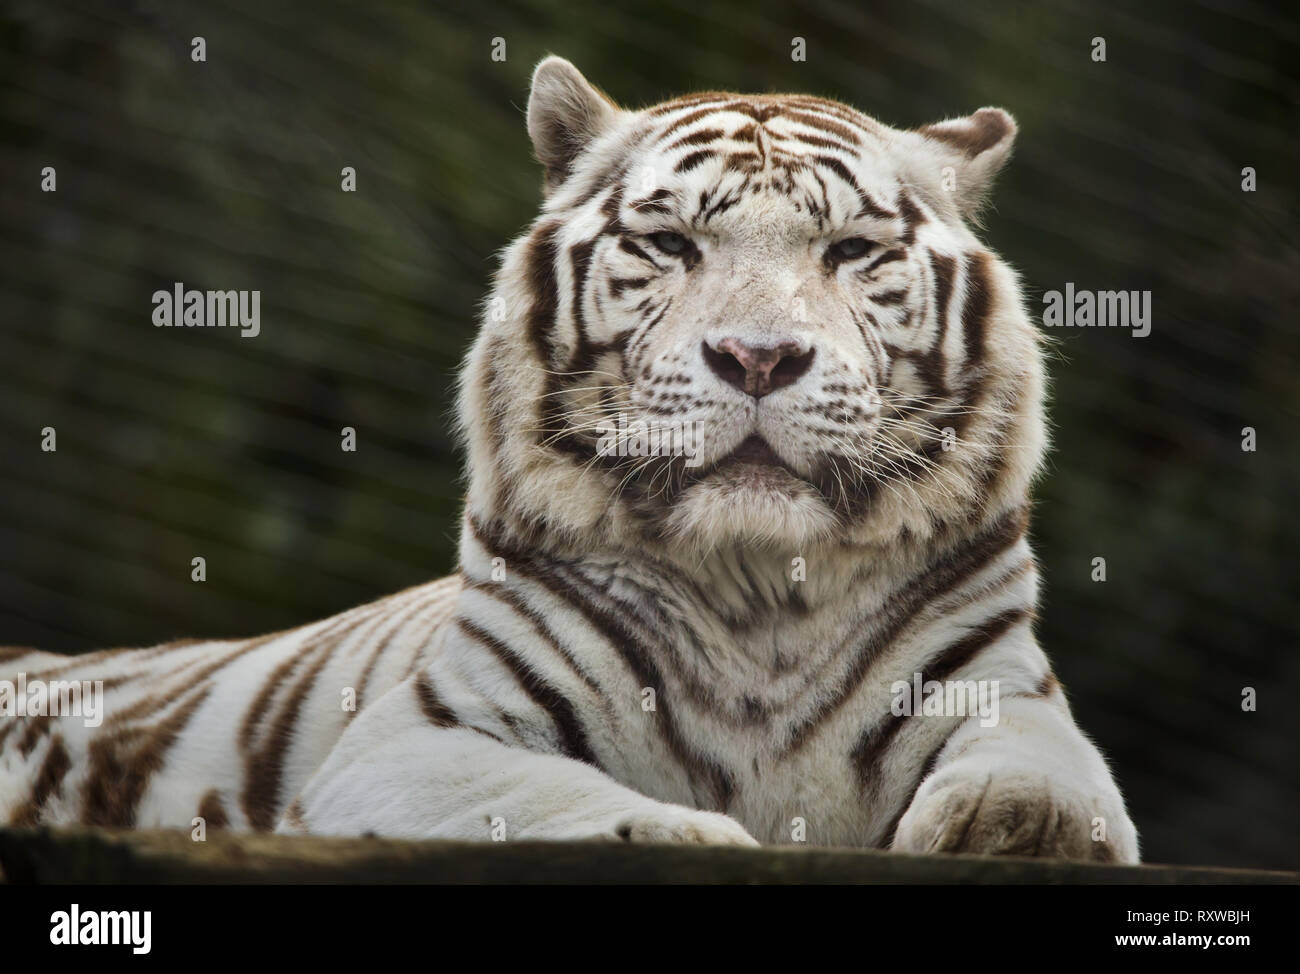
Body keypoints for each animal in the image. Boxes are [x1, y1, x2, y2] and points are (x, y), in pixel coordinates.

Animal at [0, 57, 1138, 862]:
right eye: (672, 244)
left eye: (851, 252)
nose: (758, 356)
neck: (763, 592)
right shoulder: (423, 736)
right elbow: (548, 795)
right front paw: (688, 832)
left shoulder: (1006, 688)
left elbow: (1042, 774)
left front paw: (1009, 824)